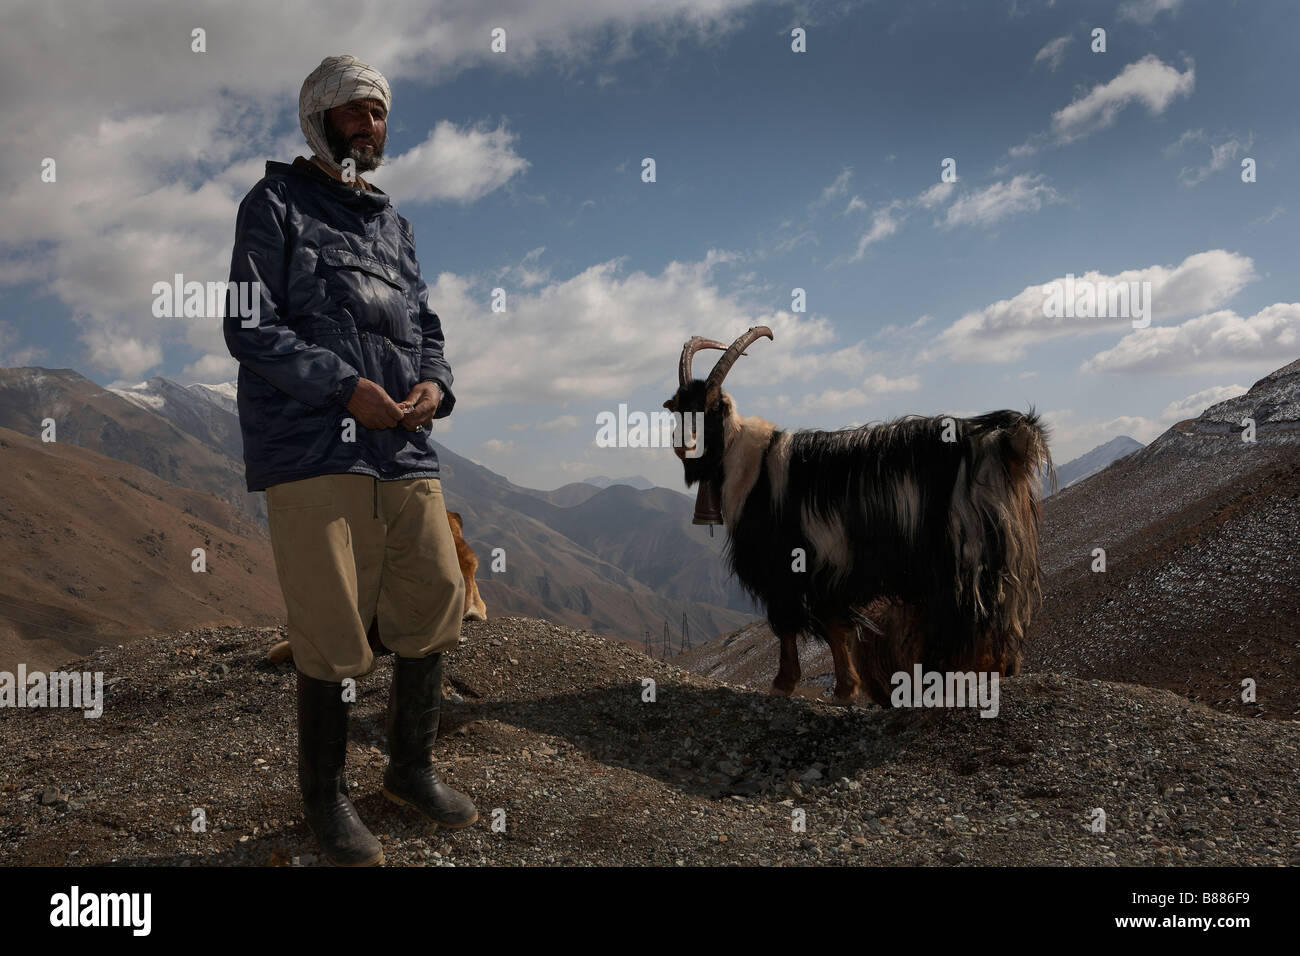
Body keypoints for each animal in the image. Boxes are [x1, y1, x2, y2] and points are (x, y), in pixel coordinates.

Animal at [663, 327, 1052, 707]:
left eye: (713, 407)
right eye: (679, 408)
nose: (686, 446)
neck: (748, 464)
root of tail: (1006, 439)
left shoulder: (791, 565)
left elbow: (789, 624)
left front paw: (784, 684)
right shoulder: (828, 568)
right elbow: (834, 628)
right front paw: (845, 689)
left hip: (970, 552)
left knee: (982, 619)